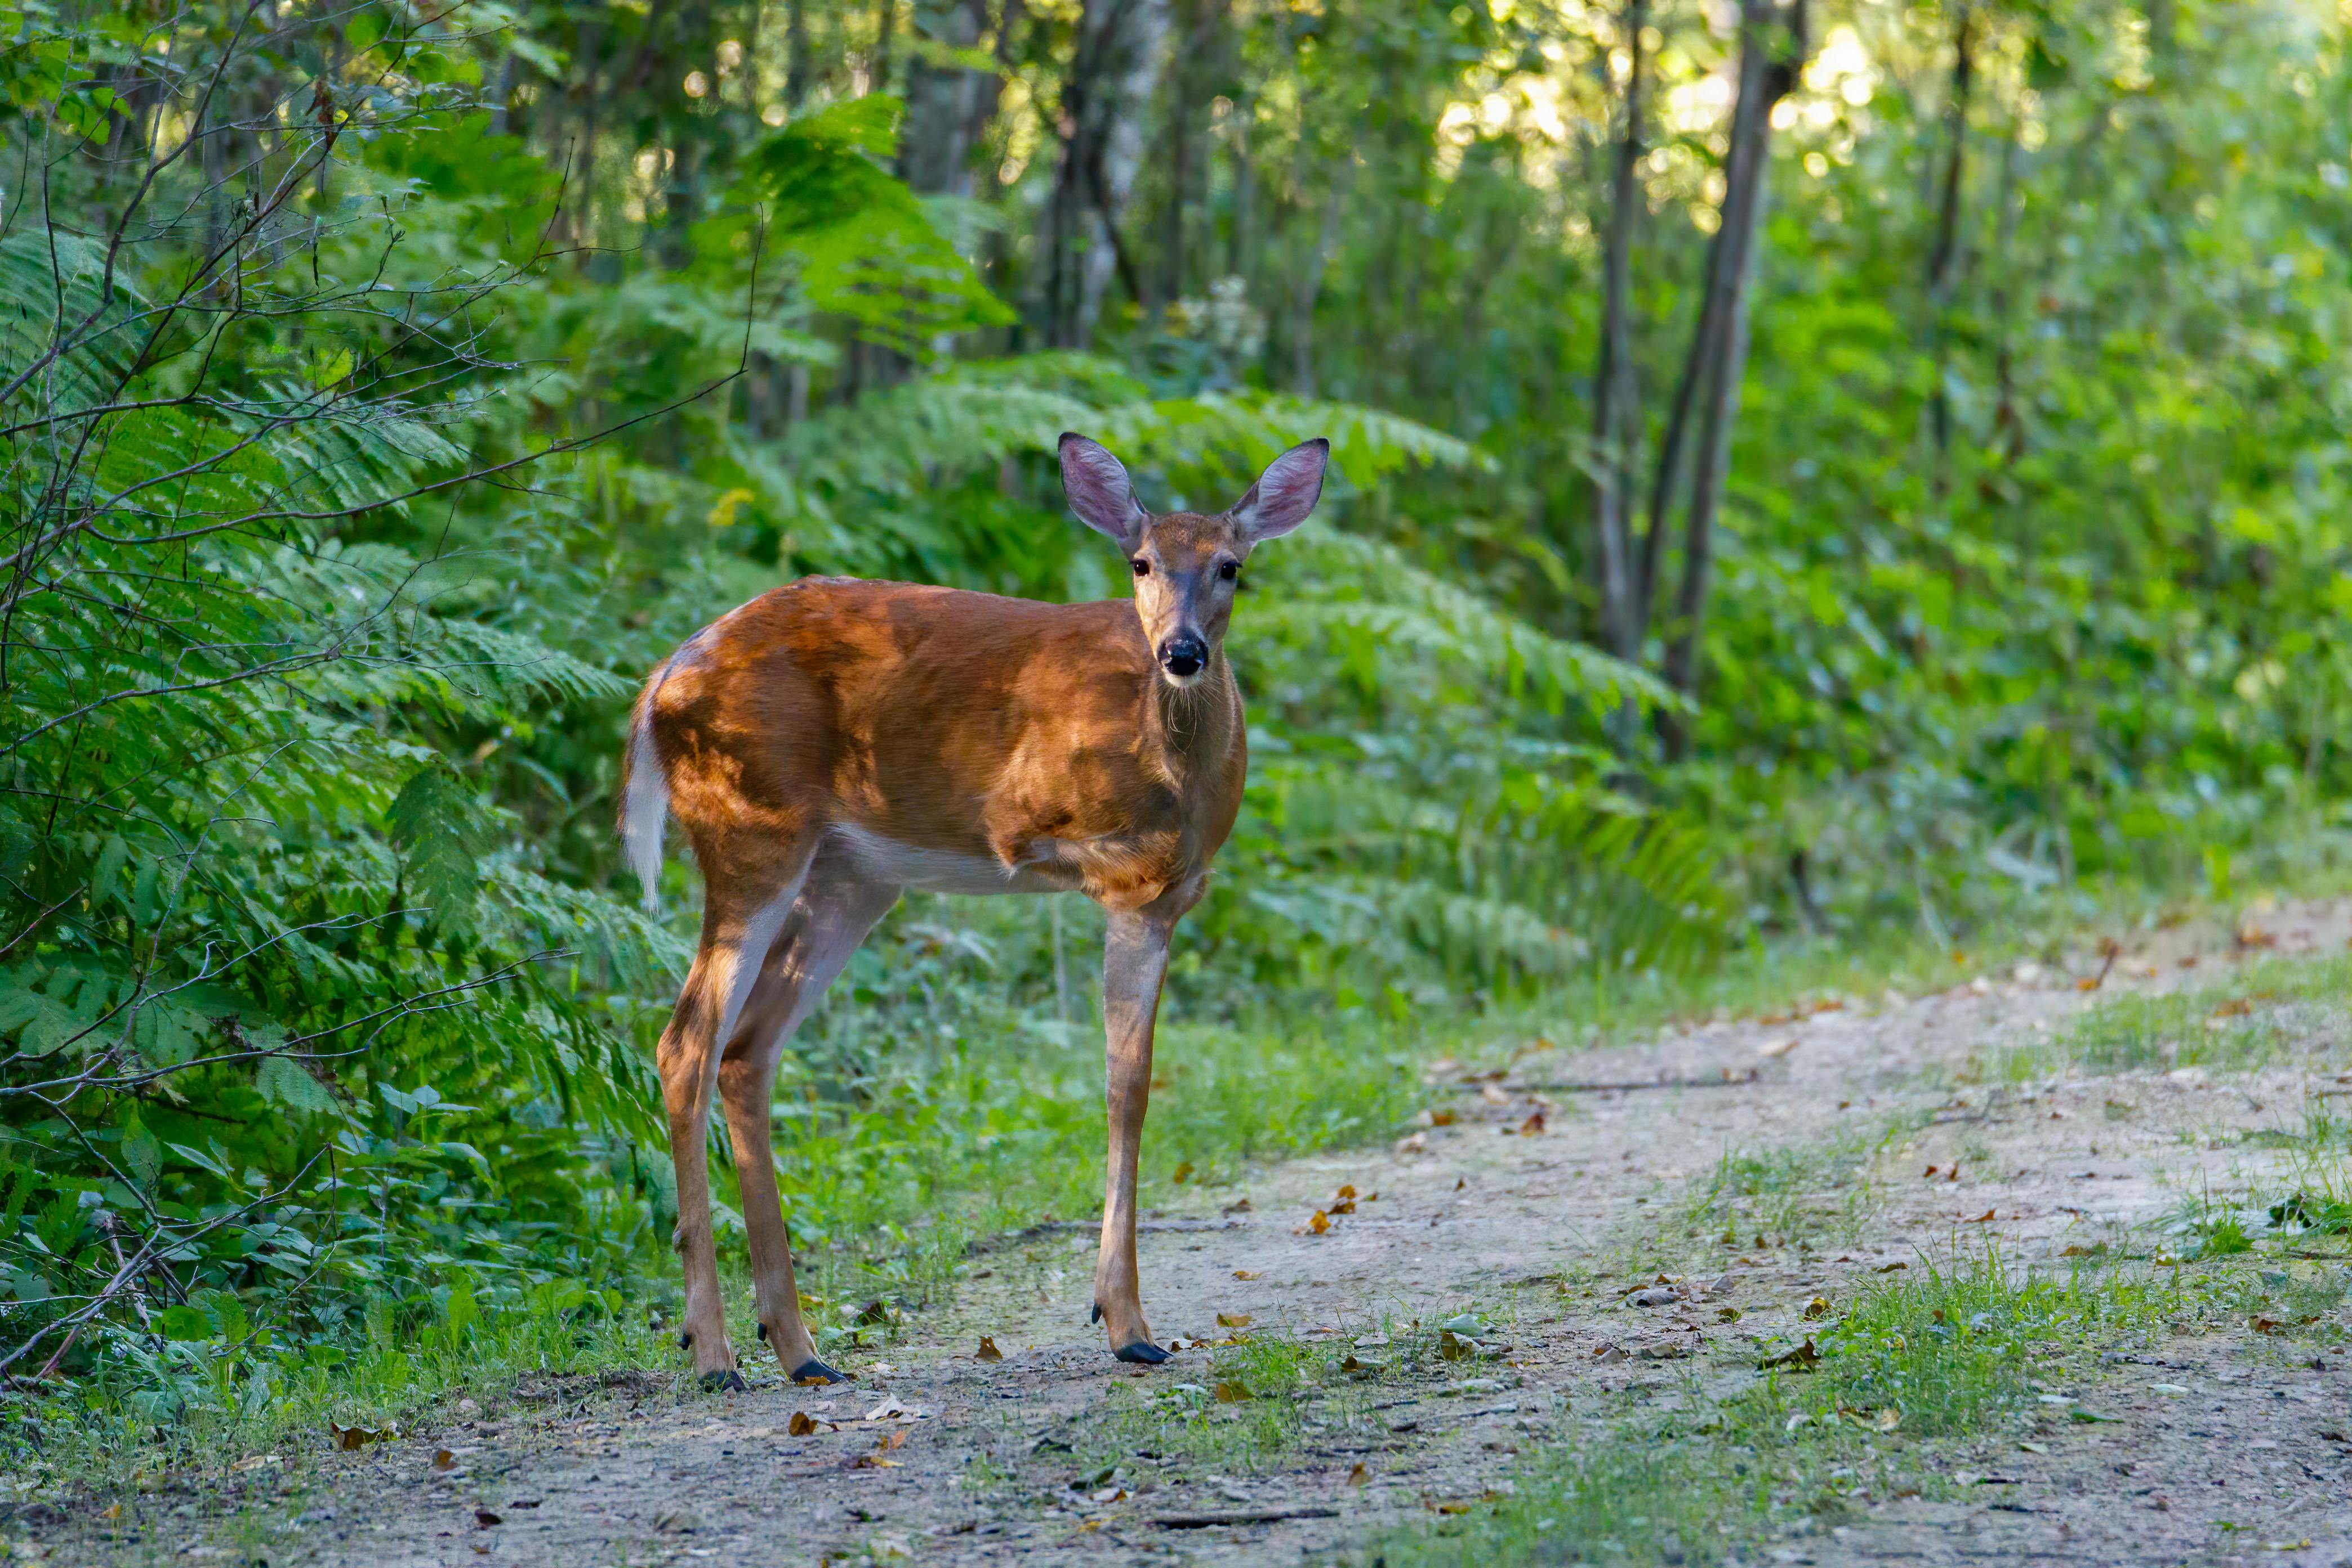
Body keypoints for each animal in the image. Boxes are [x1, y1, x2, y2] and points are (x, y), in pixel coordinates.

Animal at [619, 432, 1331, 1387]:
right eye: (1139, 563)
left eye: (1231, 566)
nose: (1181, 653)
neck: (1174, 764)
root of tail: (661, 683)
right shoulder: (1120, 882)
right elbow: (1125, 1083)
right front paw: (1127, 1321)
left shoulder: (1173, 896)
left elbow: (1132, 1081)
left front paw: (1123, 1316)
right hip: (750, 830)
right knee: (686, 1042)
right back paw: (714, 1351)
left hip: (851, 877)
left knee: (746, 1050)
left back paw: (799, 1348)